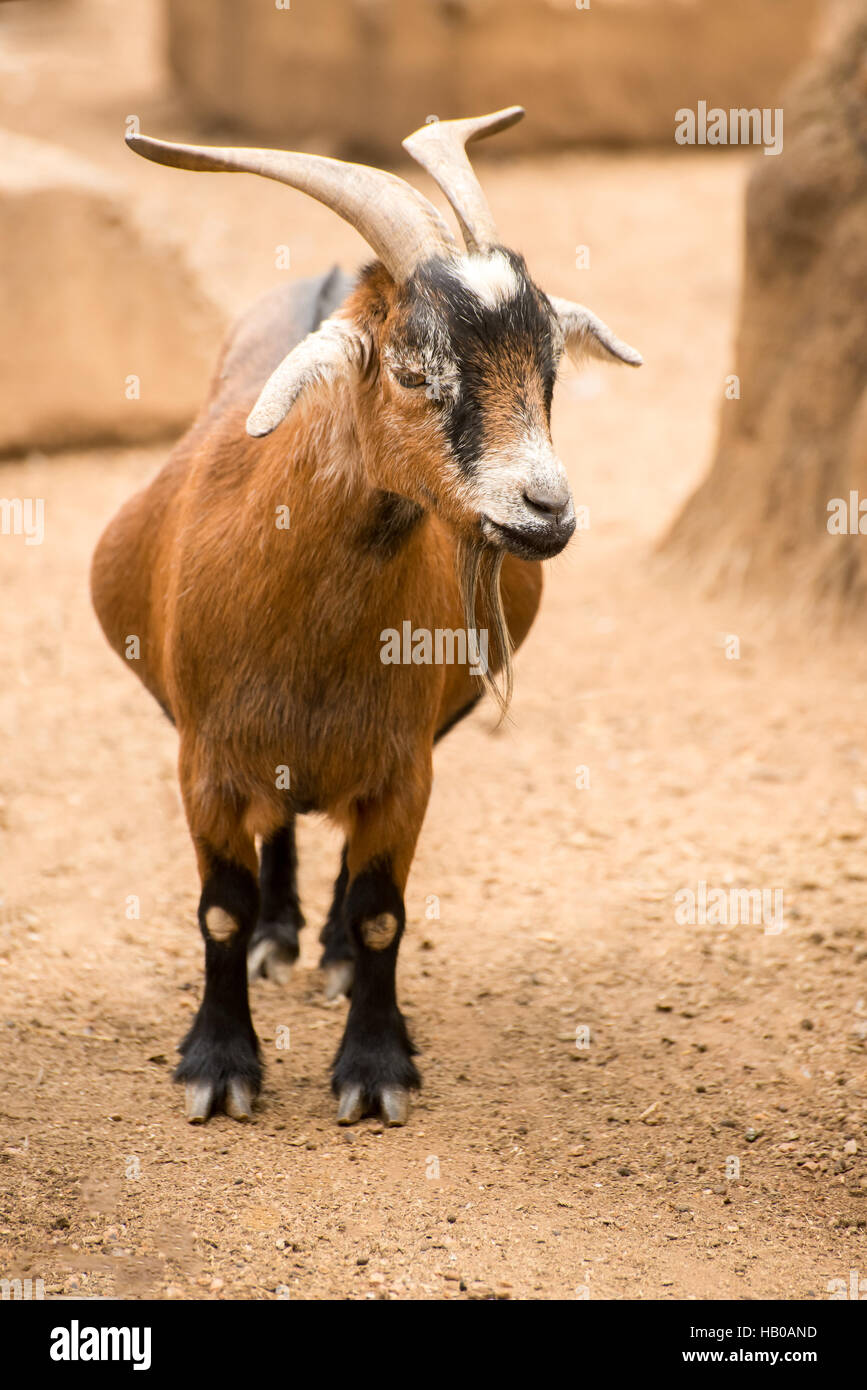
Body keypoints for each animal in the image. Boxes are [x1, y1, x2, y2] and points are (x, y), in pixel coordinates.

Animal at [91, 107, 641, 1127]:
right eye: (414, 373)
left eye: (550, 372)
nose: (547, 510)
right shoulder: (203, 761)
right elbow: (218, 908)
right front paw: (218, 1067)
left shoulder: (404, 767)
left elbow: (385, 910)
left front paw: (375, 1066)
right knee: (280, 826)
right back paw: (279, 937)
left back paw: (334, 954)